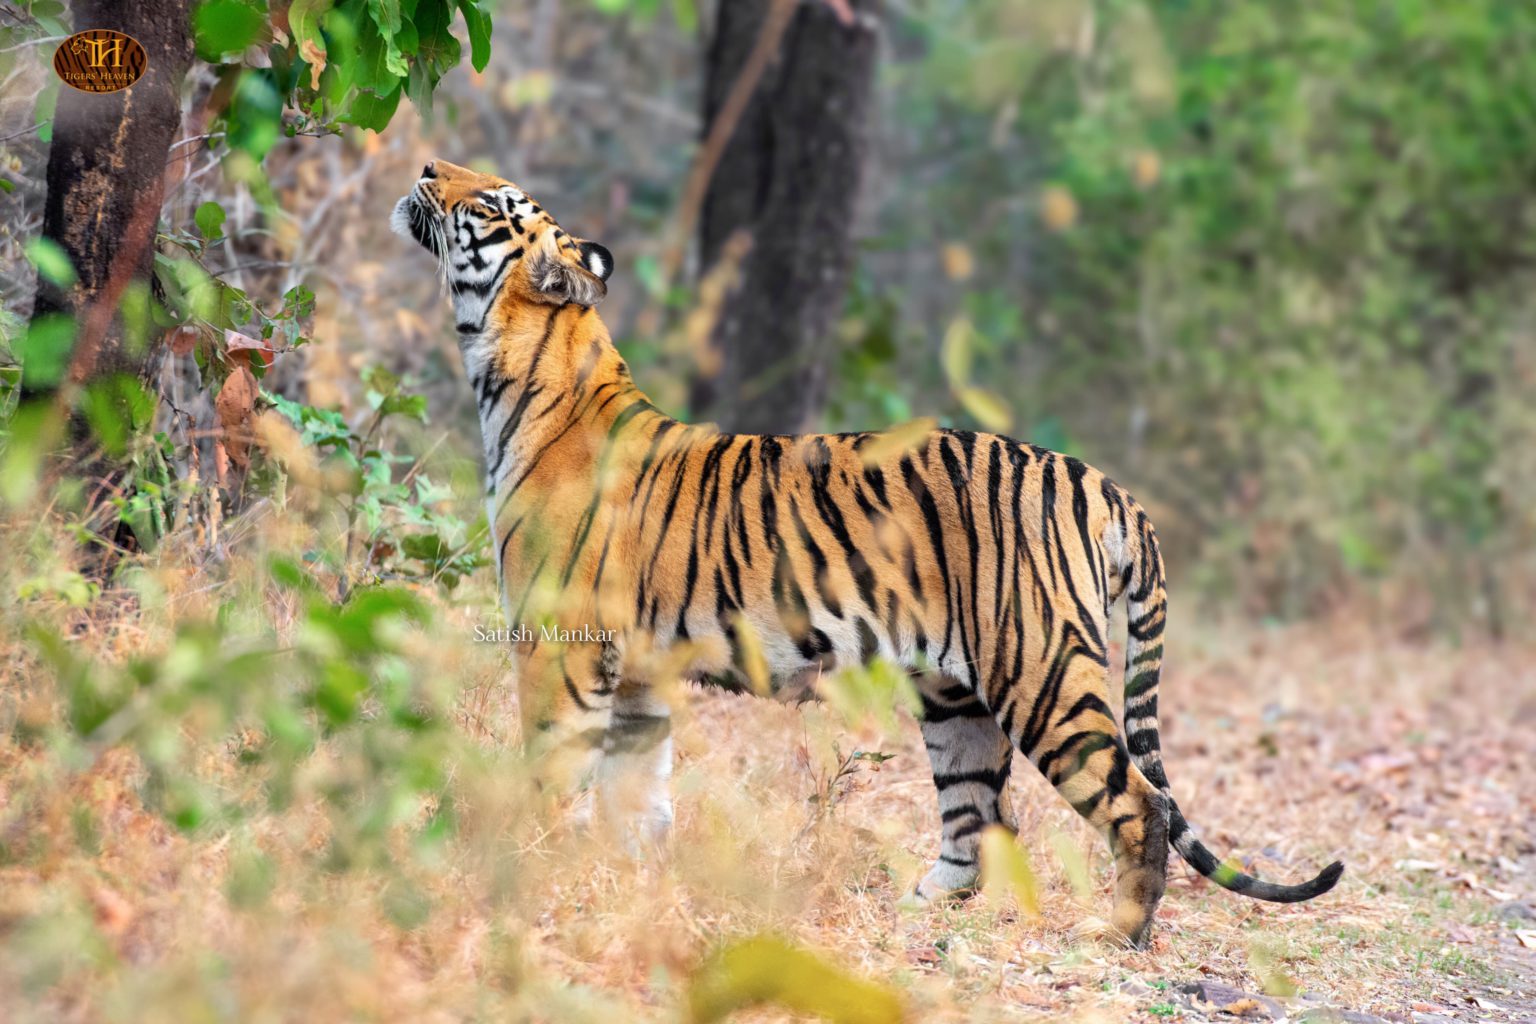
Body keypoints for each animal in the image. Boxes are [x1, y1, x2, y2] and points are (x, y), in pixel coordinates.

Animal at [391, 159, 1343, 947]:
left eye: (488, 202)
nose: (428, 165)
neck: (512, 376)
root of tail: (1103, 482)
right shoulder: (638, 672)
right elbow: (637, 795)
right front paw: (623, 883)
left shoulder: (561, 649)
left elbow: (554, 775)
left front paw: (536, 871)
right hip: (957, 697)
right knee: (978, 813)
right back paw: (920, 908)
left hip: (1043, 673)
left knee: (1136, 802)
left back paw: (1119, 932)